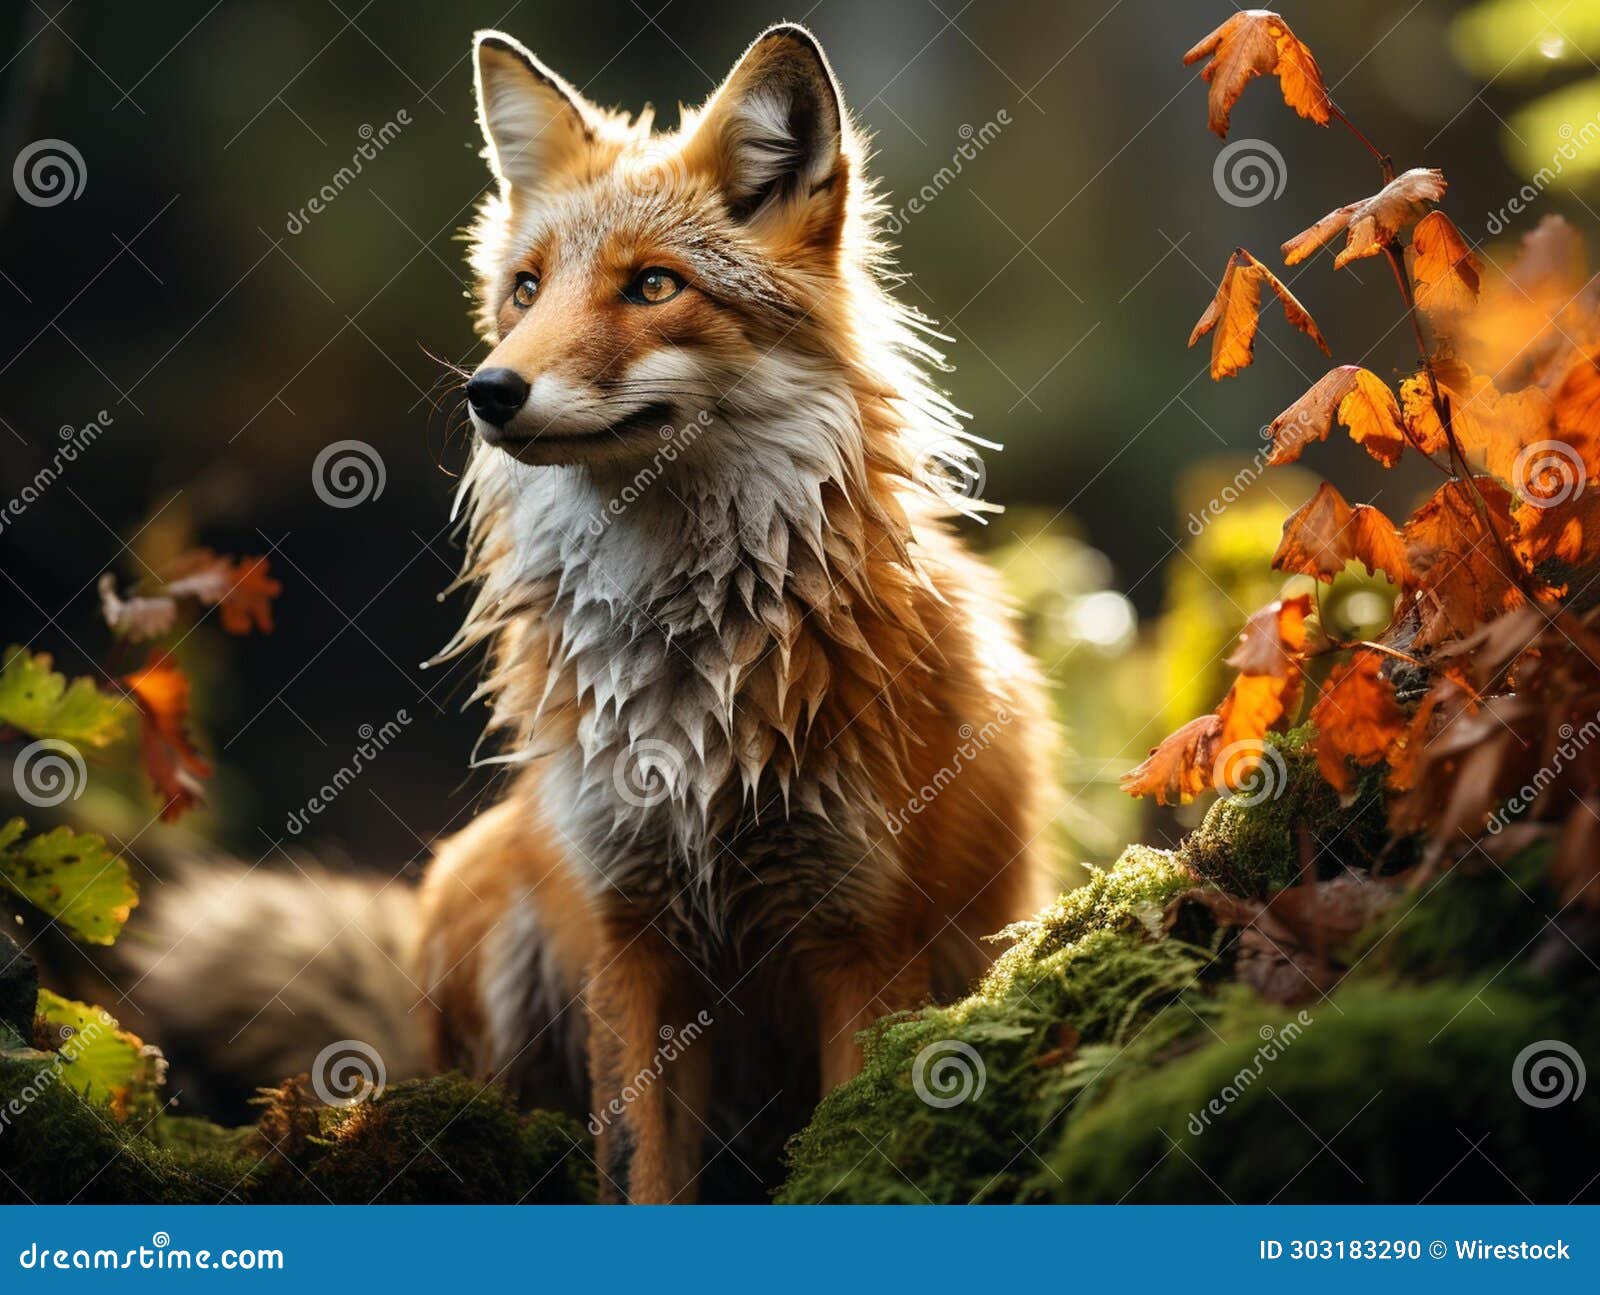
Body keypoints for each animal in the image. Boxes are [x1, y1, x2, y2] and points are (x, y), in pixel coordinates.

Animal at [123, 23, 1058, 1204]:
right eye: (525, 290)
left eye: (654, 285)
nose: (489, 390)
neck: (688, 661)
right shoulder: (631, 934)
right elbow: (639, 1168)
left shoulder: (863, 940)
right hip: (481, 893)